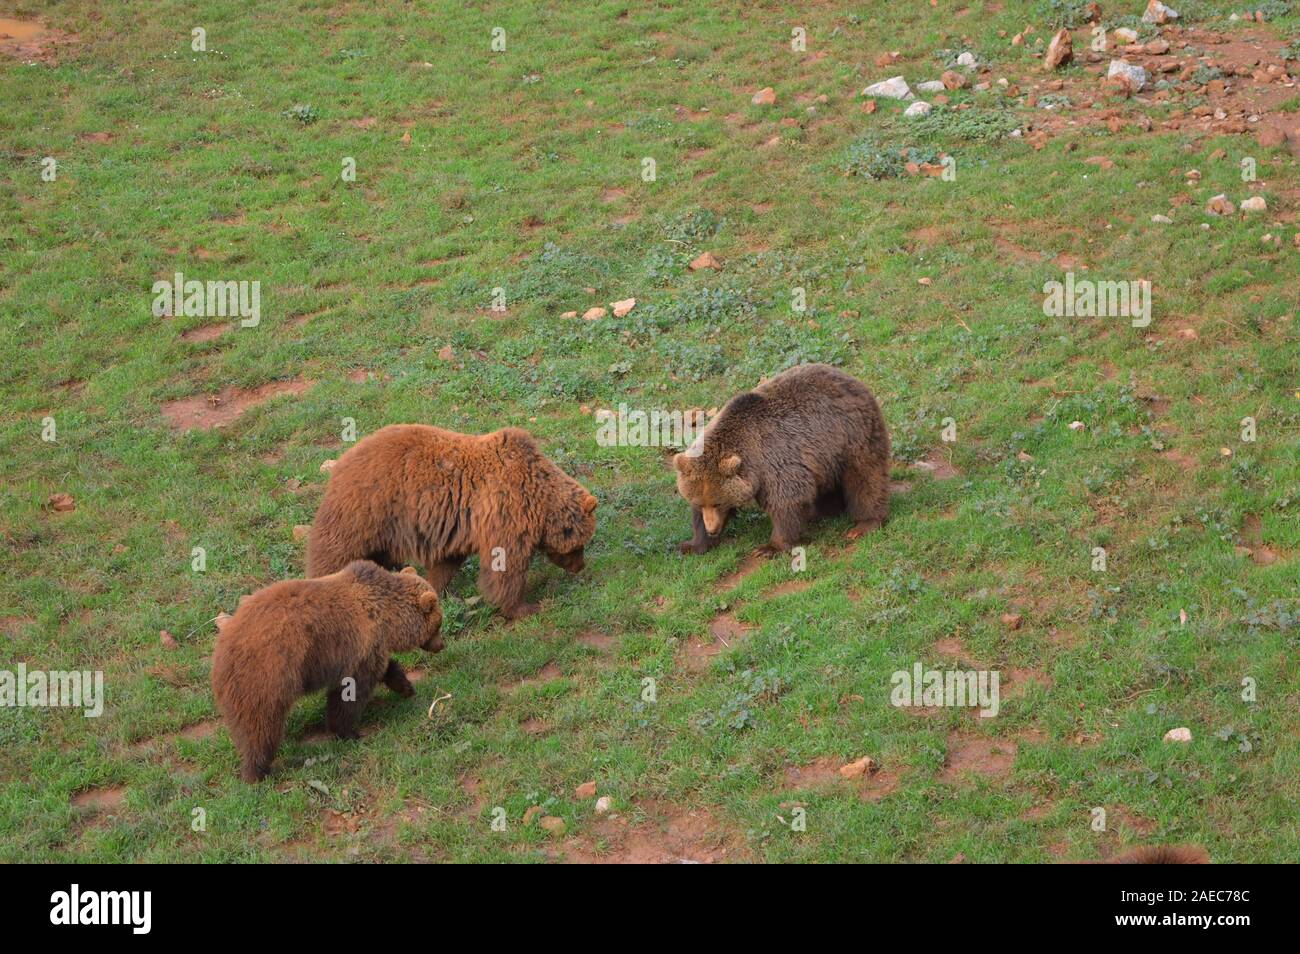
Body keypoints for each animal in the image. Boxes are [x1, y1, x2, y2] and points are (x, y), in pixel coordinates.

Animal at [211, 561, 443, 782]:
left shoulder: (371, 649)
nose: (441, 645)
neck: (386, 616)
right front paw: (349, 732)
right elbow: (349, 695)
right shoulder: (356, 647)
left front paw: (405, 687)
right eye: (439, 624)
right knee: (260, 726)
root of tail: (223, 649)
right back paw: (257, 771)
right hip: (266, 675)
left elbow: (385, 669)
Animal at [306, 424, 598, 619]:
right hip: (365, 511)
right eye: (580, 545)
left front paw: (438, 589)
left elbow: (446, 564)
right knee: (335, 553)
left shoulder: (458, 525)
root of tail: (342, 462)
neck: (538, 498)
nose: (580, 566)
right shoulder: (506, 513)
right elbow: (505, 567)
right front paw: (525, 607)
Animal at [674, 363, 890, 555]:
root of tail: (850, 377)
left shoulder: (775, 458)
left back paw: (863, 524)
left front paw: (769, 547)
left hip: (851, 434)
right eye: (701, 503)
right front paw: (692, 544)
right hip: (827, 454)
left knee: (865, 476)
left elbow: (785, 499)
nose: (712, 528)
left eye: (718, 503)